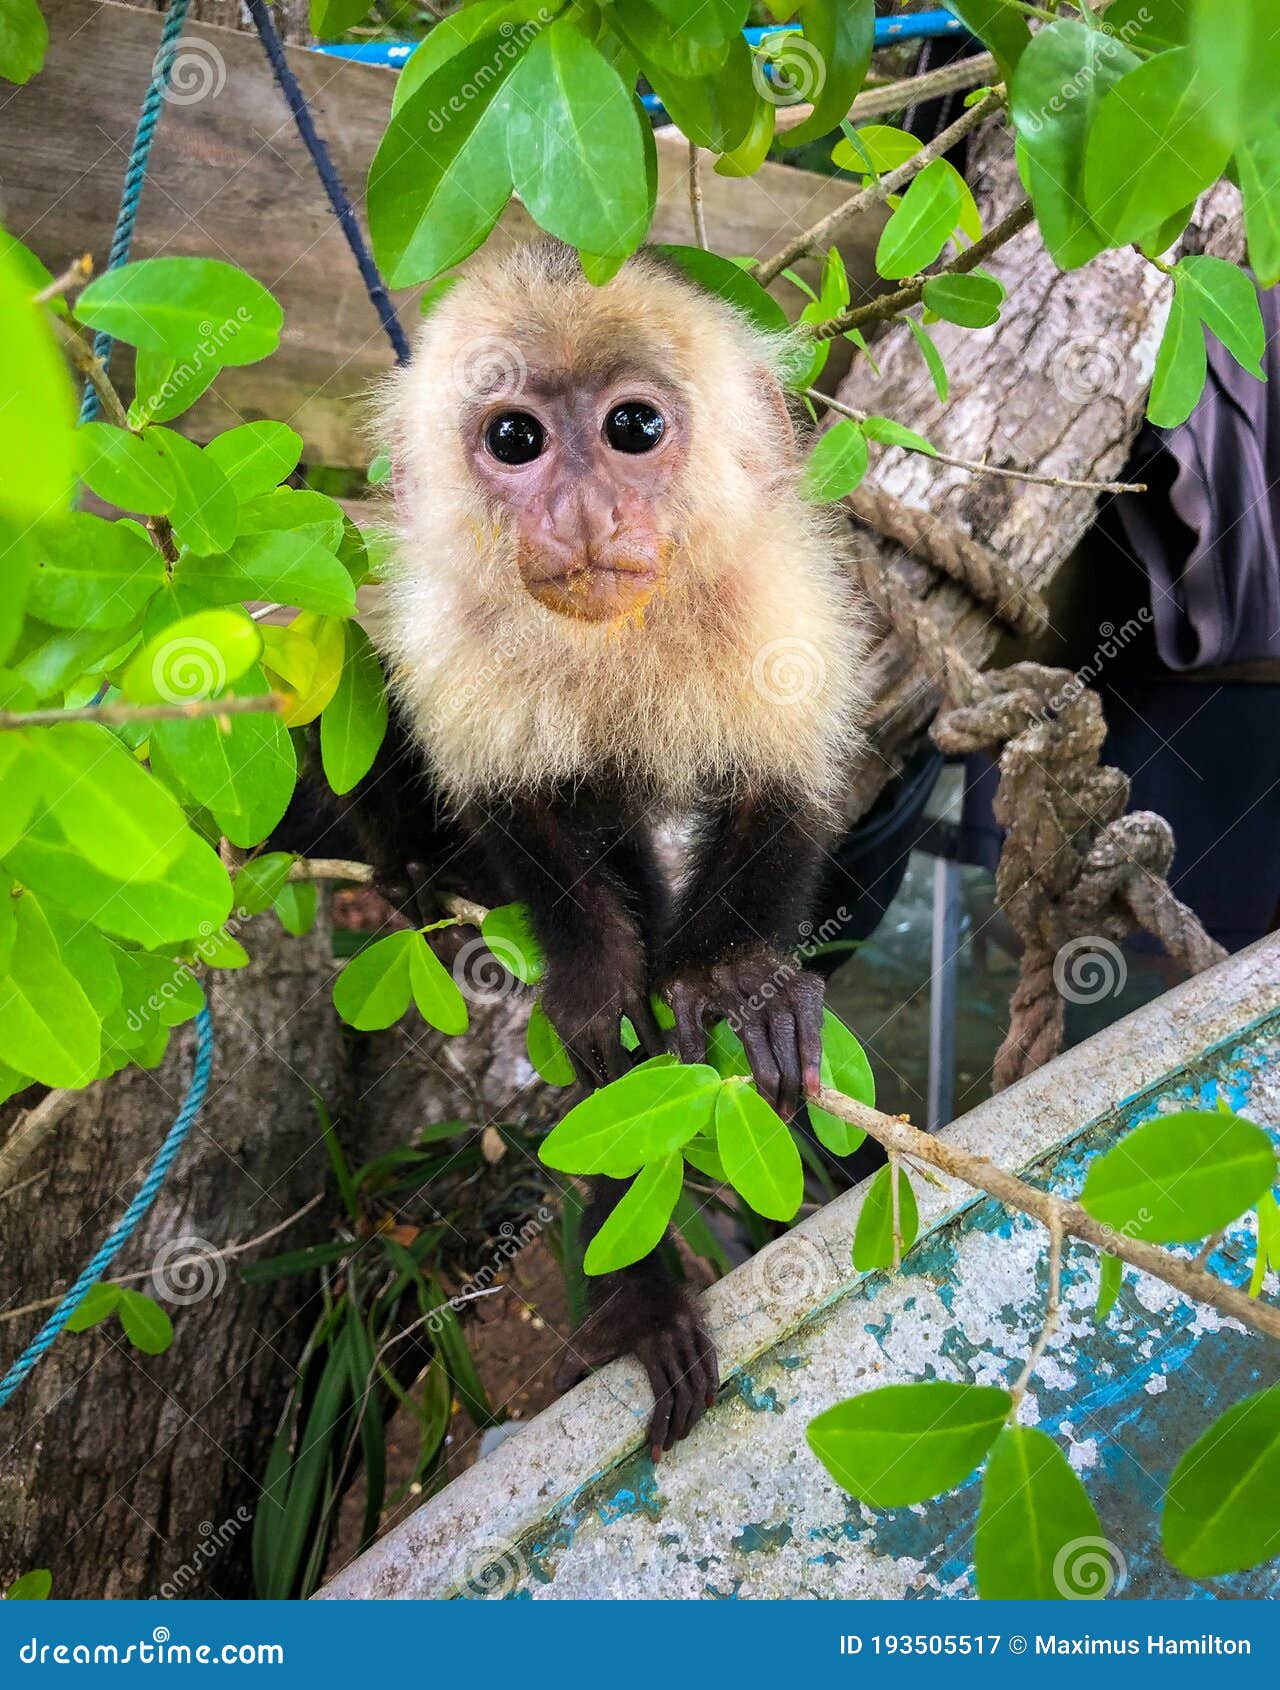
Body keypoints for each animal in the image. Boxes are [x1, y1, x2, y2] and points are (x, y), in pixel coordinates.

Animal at [347, 237, 870, 1456]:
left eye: (634, 427)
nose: (583, 509)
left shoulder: (770, 592)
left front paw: (730, 978)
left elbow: (782, 782)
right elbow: (521, 804)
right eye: (515, 439)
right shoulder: (451, 632)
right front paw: (598, 986)